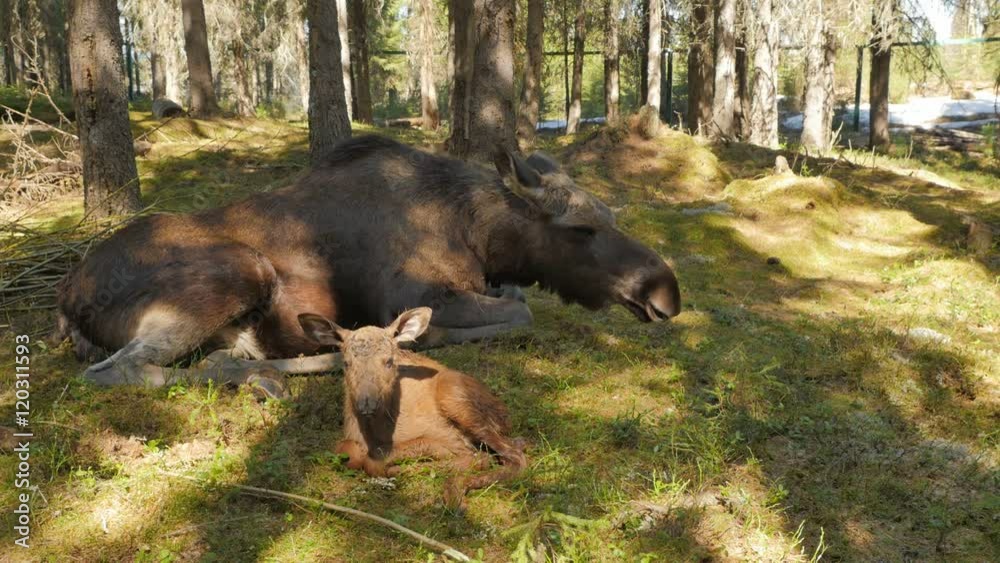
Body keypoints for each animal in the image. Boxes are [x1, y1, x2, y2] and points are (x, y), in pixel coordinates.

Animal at [297, 307, 527, 508]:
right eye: (346, 363)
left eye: (389, 361)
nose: (366, 403)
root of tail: (505, 415)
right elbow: (348, 451)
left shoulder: (448, 436)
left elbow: (375, 461)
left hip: (454, 396)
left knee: (513, 456)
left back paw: (454, 492)